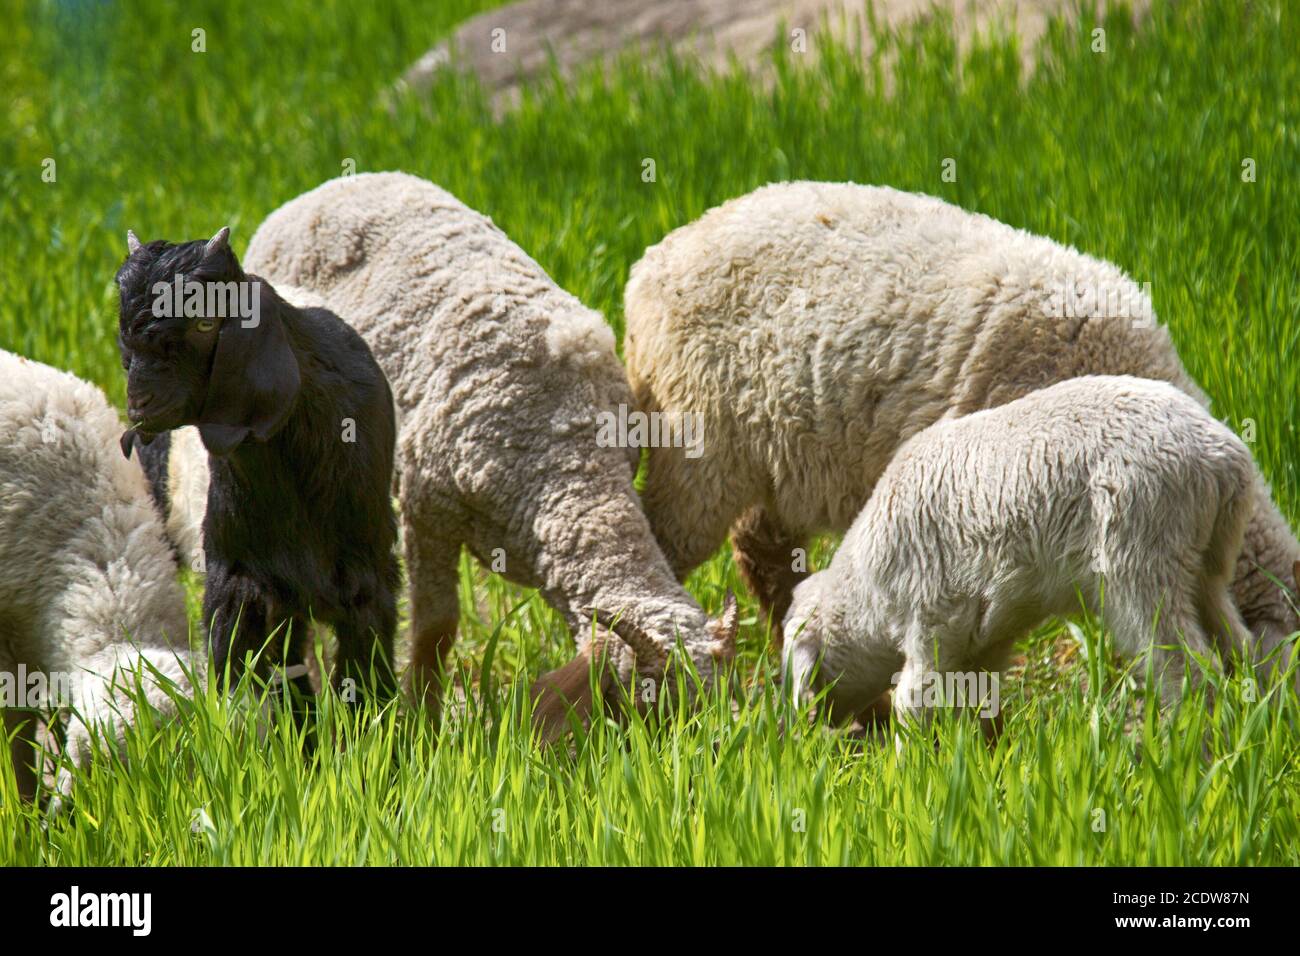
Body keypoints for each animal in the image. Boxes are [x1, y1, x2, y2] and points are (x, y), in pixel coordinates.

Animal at [115, 226, 401, 706]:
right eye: (124, 334)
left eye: (206, 323)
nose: (140, 403)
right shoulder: (239, 575)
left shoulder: (367, 578)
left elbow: (363, 674)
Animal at [241, 171, 739, 736]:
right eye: (652, 709)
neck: (568, 469)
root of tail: (333, 186)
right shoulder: (427, 509)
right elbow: (435, 627)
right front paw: (425, 720)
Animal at [782, 376, 1256, 728]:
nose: (814, 728)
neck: (867, 597)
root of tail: (1221, 456)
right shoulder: (986, 635)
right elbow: (977, 704)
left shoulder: (931, 615)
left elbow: (913, 702)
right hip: (1206, 561)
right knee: (1240, 646)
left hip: (1142, 553)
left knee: (1189, 672)